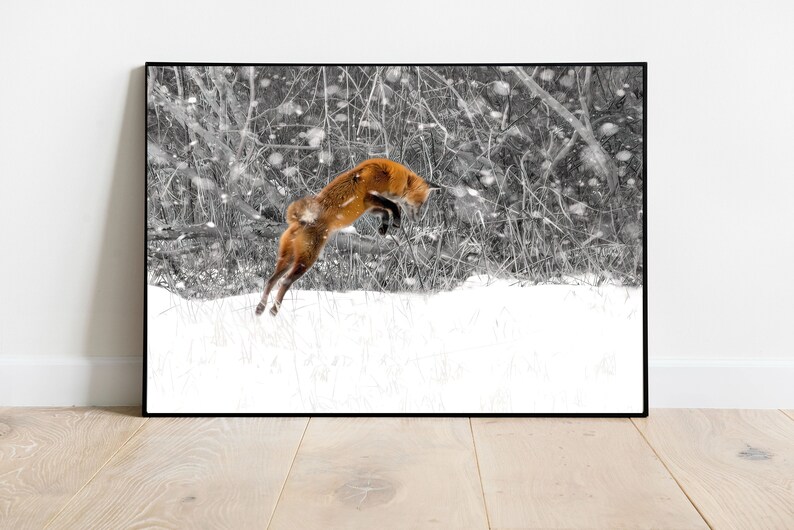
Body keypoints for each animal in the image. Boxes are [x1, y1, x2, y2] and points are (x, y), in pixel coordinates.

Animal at [255, 158, 438, 316]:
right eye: (421, 204)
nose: (418, 220)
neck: (388, 175)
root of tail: (298, 222)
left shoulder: (369, 205)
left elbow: (384, 211)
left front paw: (384, 227)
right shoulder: (369, 196)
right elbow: (393, 205)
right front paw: (397, 220)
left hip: (287, 259)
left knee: (271, 280)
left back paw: (260, 308)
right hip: (305, 260)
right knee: (284, 282)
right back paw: (273, 310)